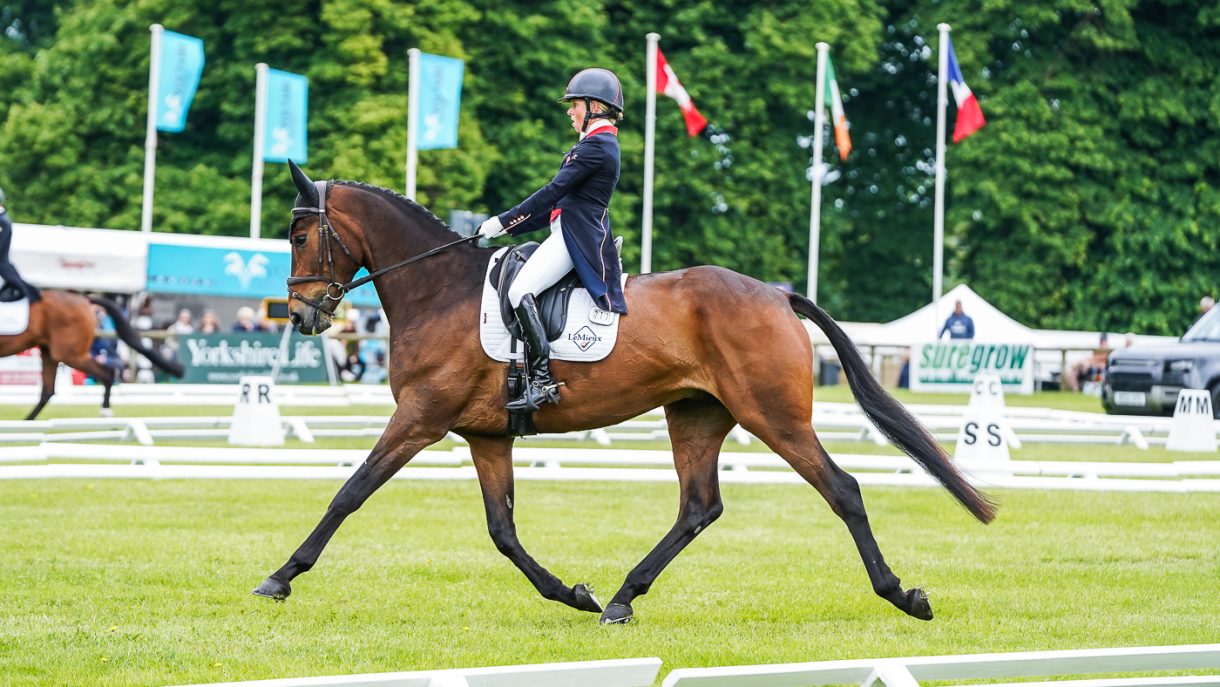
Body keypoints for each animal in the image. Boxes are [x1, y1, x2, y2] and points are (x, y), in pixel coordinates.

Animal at [0, 291, 184, 420]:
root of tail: (85, 300)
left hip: (70, 354)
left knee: (106, 374)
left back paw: (105, 413)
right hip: (50, 352)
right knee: (47, 391)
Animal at [254, 161, 995, 624]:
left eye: (299, 234)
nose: (300, 316)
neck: (440, 292)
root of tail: (777, 294)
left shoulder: (418, 418)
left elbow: (349, 492)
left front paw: (281, 575)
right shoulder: (487, 434)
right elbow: (503, 530)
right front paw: (571, 593)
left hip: (774, 416)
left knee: (842, 489)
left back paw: (903, 595)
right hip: (696, 415)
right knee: (699, 505)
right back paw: (618, 598)